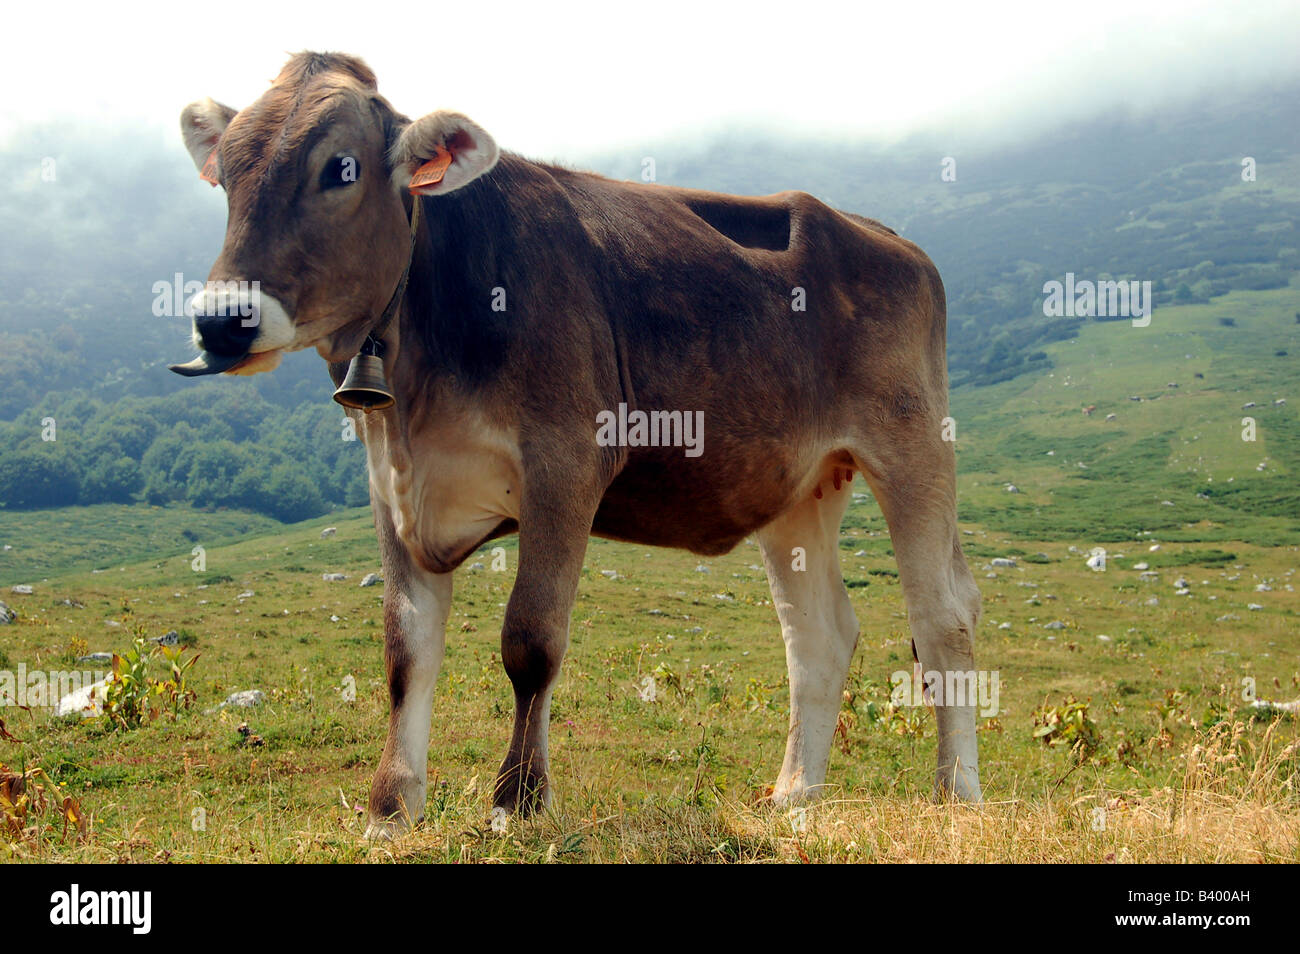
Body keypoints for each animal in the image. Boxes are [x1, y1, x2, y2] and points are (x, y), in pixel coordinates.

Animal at [172, 51, 983, 836]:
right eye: (228, 174)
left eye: (341, 167)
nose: (221, 319)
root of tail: (886, 235)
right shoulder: (390, 487)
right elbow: (406, 652)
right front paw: (390, 809)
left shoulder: (565, 465)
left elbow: (531, 642)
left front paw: (517, 801)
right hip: (798, 486)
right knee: (818, 637)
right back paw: (793, 796)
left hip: (913, 443)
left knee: (944, 617)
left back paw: (956, 794)